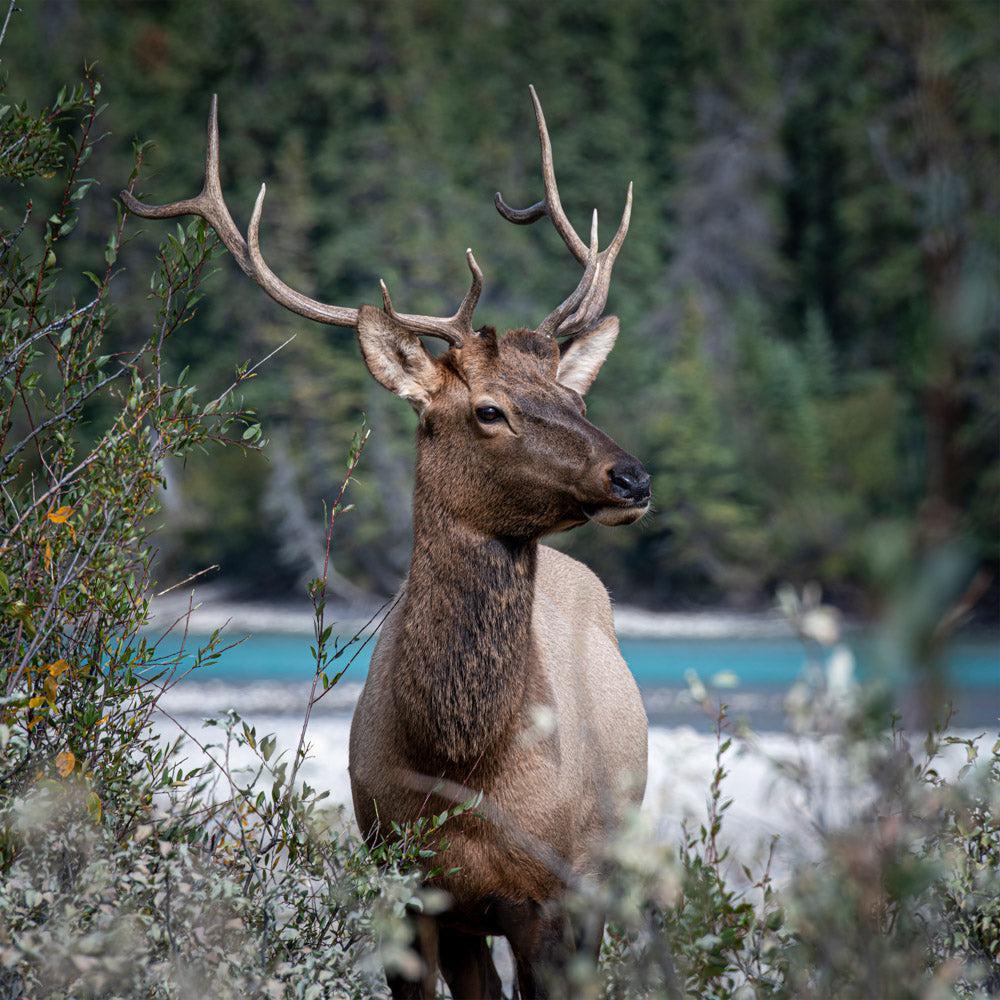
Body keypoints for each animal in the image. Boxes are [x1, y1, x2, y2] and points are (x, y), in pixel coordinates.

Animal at [123, 86, 650, 999]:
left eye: (573, 396)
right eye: (489, 410)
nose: (632, 478)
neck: (462, 767)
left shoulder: (556, 893)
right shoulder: (405, 886)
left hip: (603, 879)